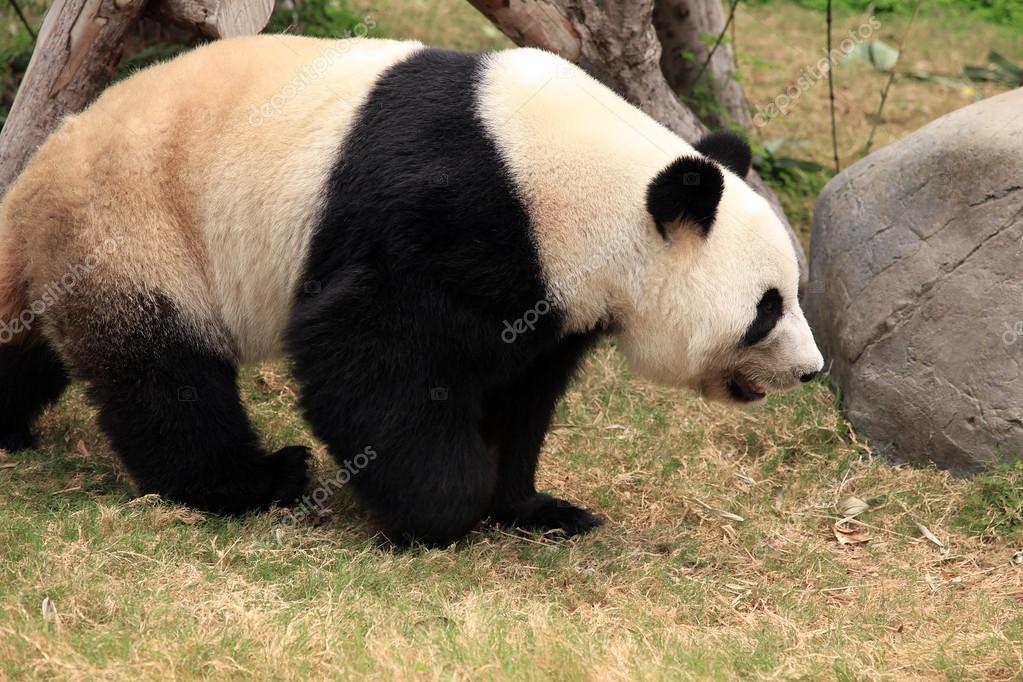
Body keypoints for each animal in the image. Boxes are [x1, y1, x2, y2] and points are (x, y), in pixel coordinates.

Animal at [0, 35, 823, 546]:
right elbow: (364, 349)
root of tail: (37, 175)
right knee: (166, 376)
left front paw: (532, 507)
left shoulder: (544, 290)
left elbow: (519, 392)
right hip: (138, 225)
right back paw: (255, 479)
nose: (811, 371)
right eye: (768, 307)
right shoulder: (455, 213)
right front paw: (439, 508)